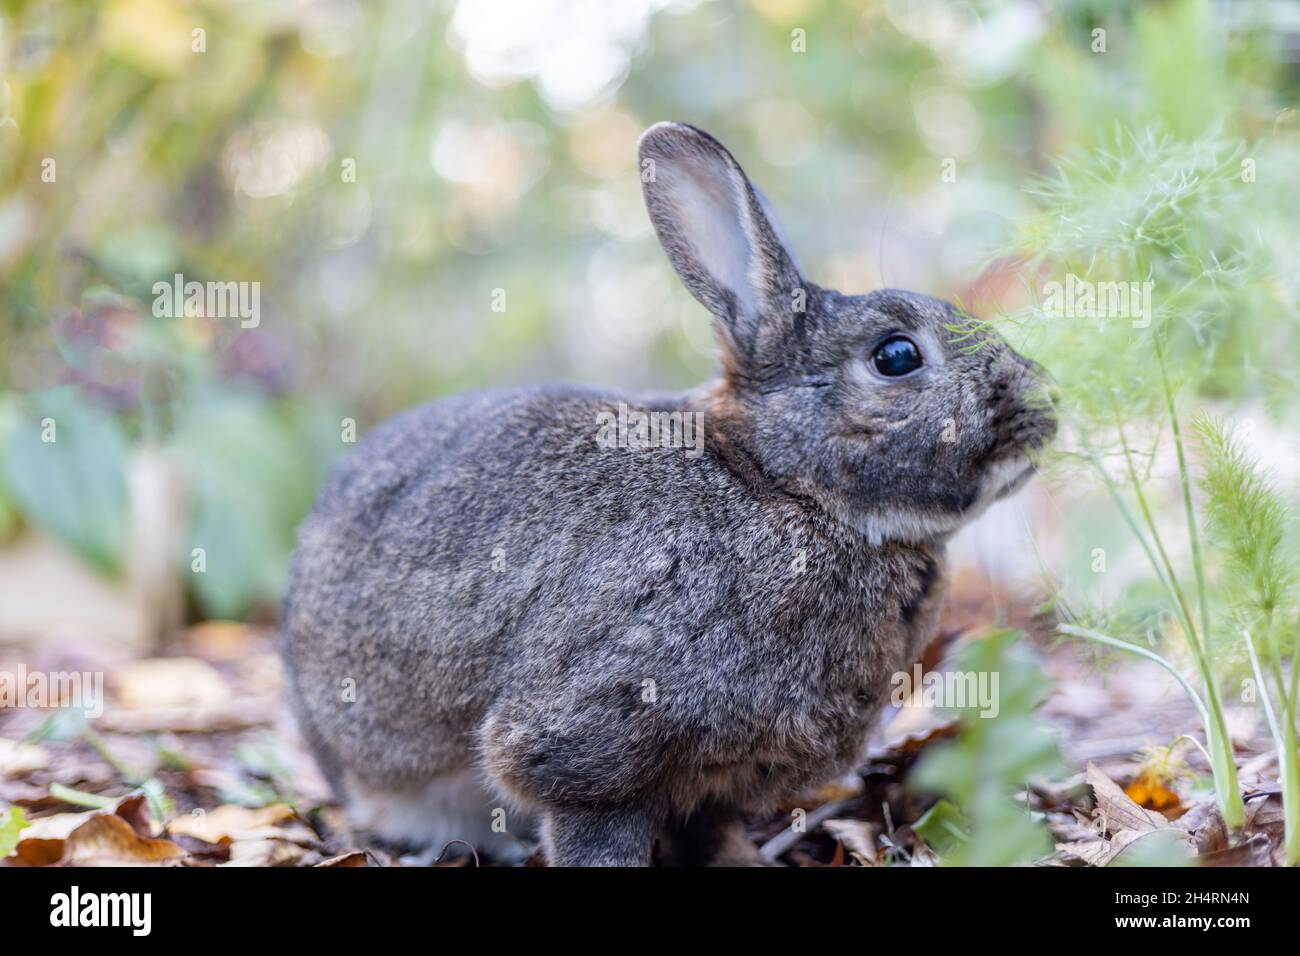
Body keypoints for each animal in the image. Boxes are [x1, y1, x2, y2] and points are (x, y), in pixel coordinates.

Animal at [280, 122, 1057, 867]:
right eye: (896, 356)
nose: (1045, 400)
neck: (782, 485)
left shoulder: (725, 783)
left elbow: (711, 833)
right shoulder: (590, 746)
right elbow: (592, 826)